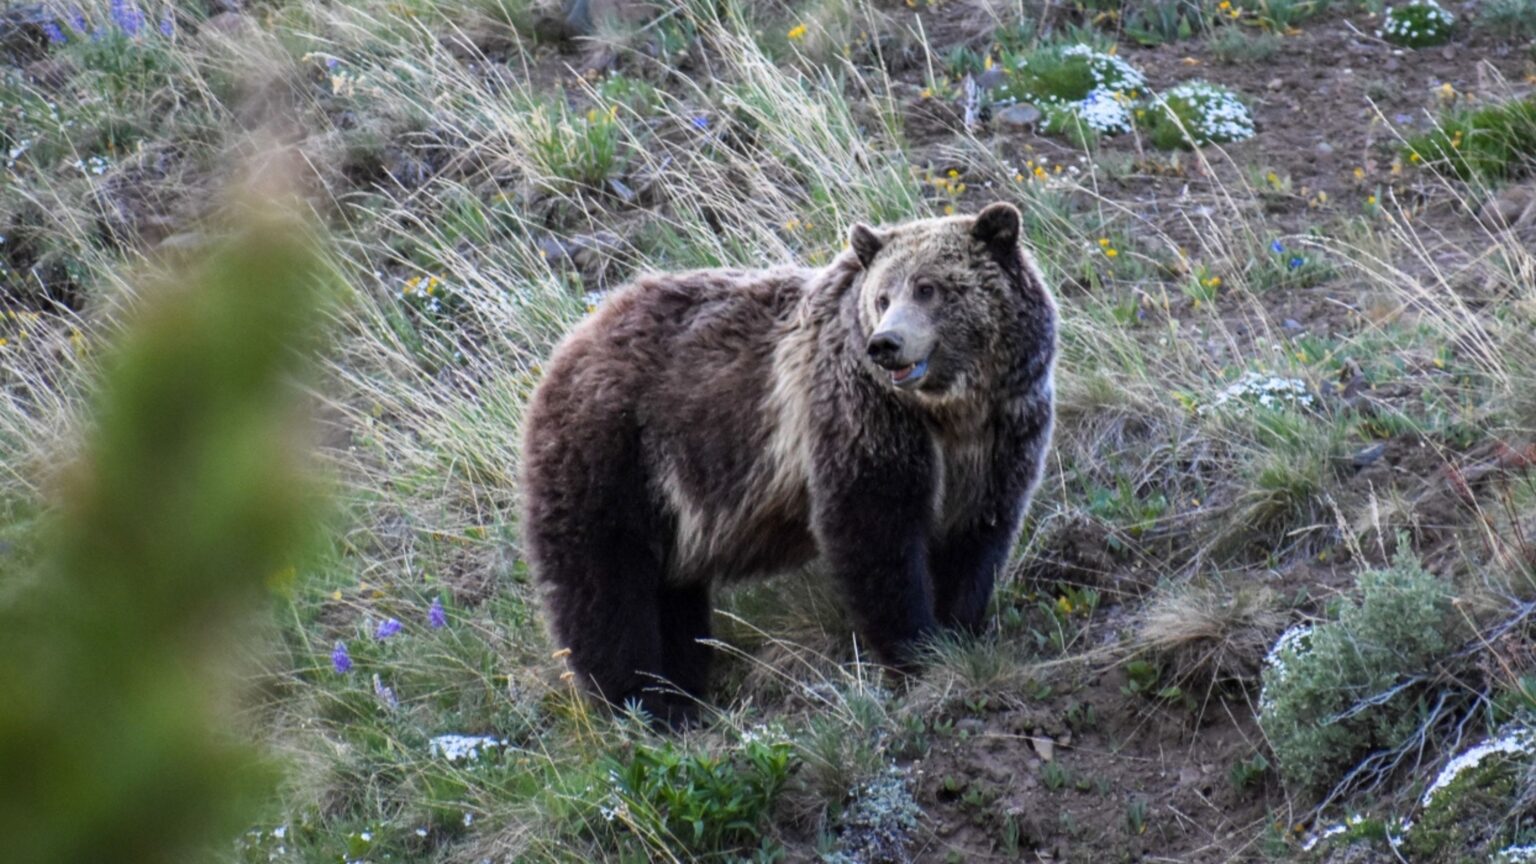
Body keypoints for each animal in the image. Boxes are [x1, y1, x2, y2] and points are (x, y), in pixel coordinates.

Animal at [520, 202, 1056, 724]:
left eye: (929, 287)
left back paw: (683, 685)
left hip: (669, 499)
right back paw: (644, 700)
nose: (886, 344)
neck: (951, 409)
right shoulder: (865, 415)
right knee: (605, 581)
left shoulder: (1003, 435)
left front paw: (960, 633)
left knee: (670, 591)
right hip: (614, 452)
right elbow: (875, 531)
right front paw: (916, 652)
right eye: (883, 297)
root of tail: (571, 341)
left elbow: (978, 540)